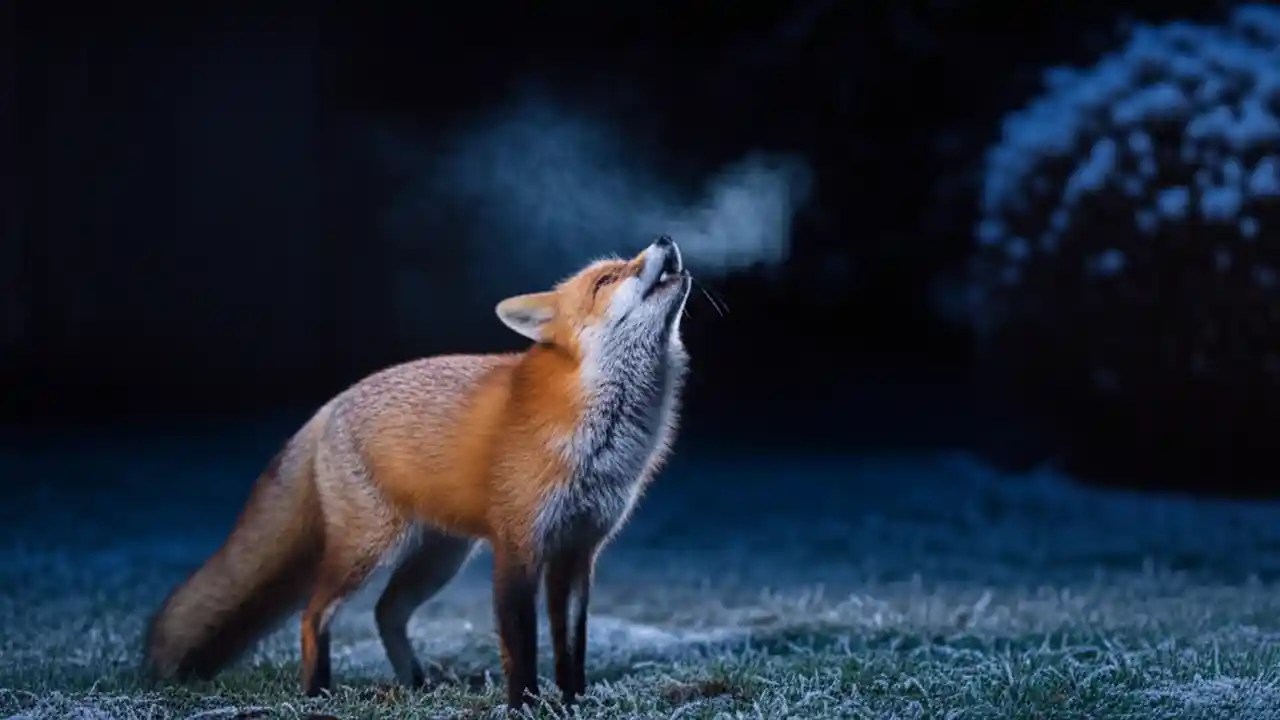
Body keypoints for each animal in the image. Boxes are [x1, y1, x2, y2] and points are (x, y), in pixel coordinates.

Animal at [142, 235, 693, 709]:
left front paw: (574, 702)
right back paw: (317, 692)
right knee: (313, 613)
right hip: (367, 548)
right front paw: (524, 705)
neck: (599, 435)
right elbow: (521, 645)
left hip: (439, 558)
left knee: (385, 612)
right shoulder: (518, 547)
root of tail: (331, 405)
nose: (665, 238)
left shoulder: (578, 552)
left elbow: (570, 649)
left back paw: (414, 685)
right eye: (606, 280)